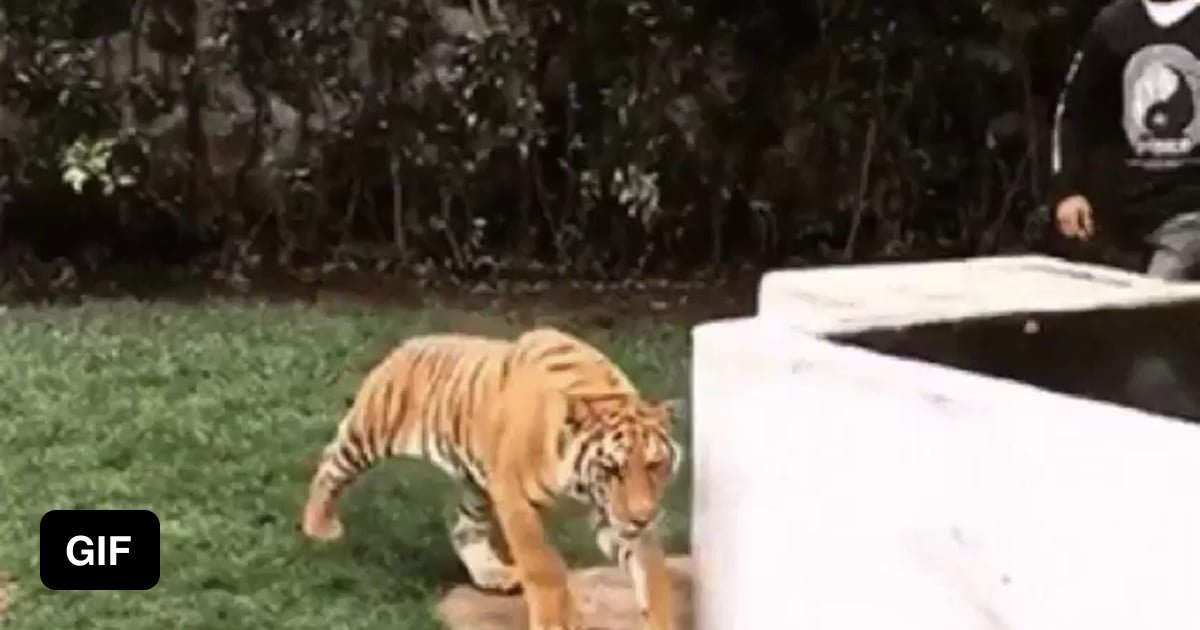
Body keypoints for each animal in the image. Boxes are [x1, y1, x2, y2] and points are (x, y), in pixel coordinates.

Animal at [299, 326, 683, 630]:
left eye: (654, 466)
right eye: (611, 469)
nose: (642, 516)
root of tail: (409, 343)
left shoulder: (618, 514)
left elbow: (651, 573)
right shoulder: (515, 497)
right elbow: (543, 564)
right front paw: (554, 621)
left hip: (475, 484)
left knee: (464, 526)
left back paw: (492, 575)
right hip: (371, 433)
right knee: (331, 464)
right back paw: (319, 527)